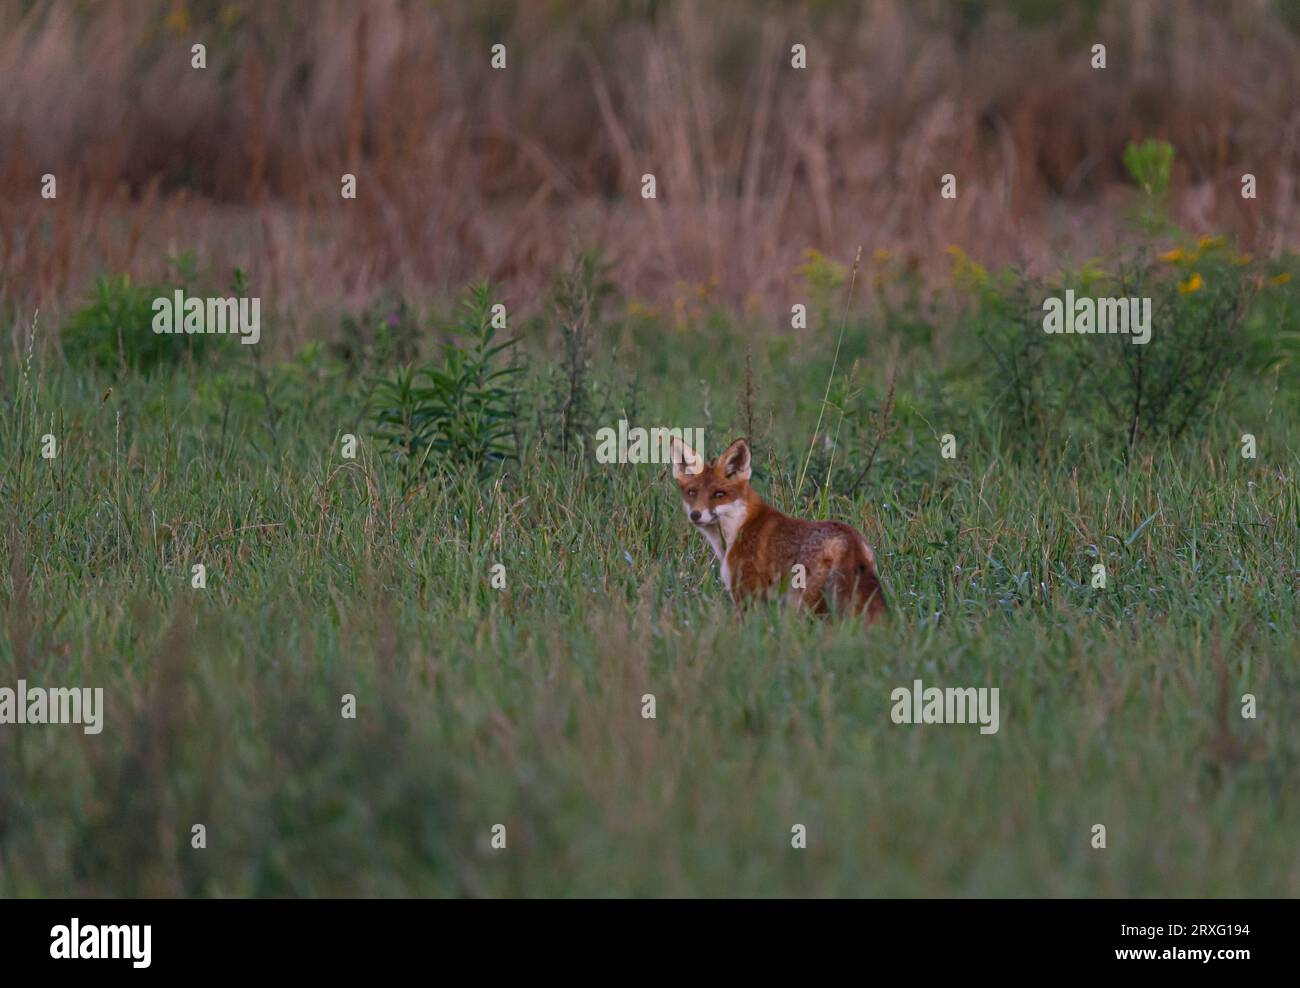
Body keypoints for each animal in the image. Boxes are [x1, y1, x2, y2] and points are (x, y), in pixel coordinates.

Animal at [669, 436, 886, 624]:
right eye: (692, 493)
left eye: (719, 494)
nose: (695, 514)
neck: (739, 527)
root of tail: (849, 539)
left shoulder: (748, 593)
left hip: (807, 606)